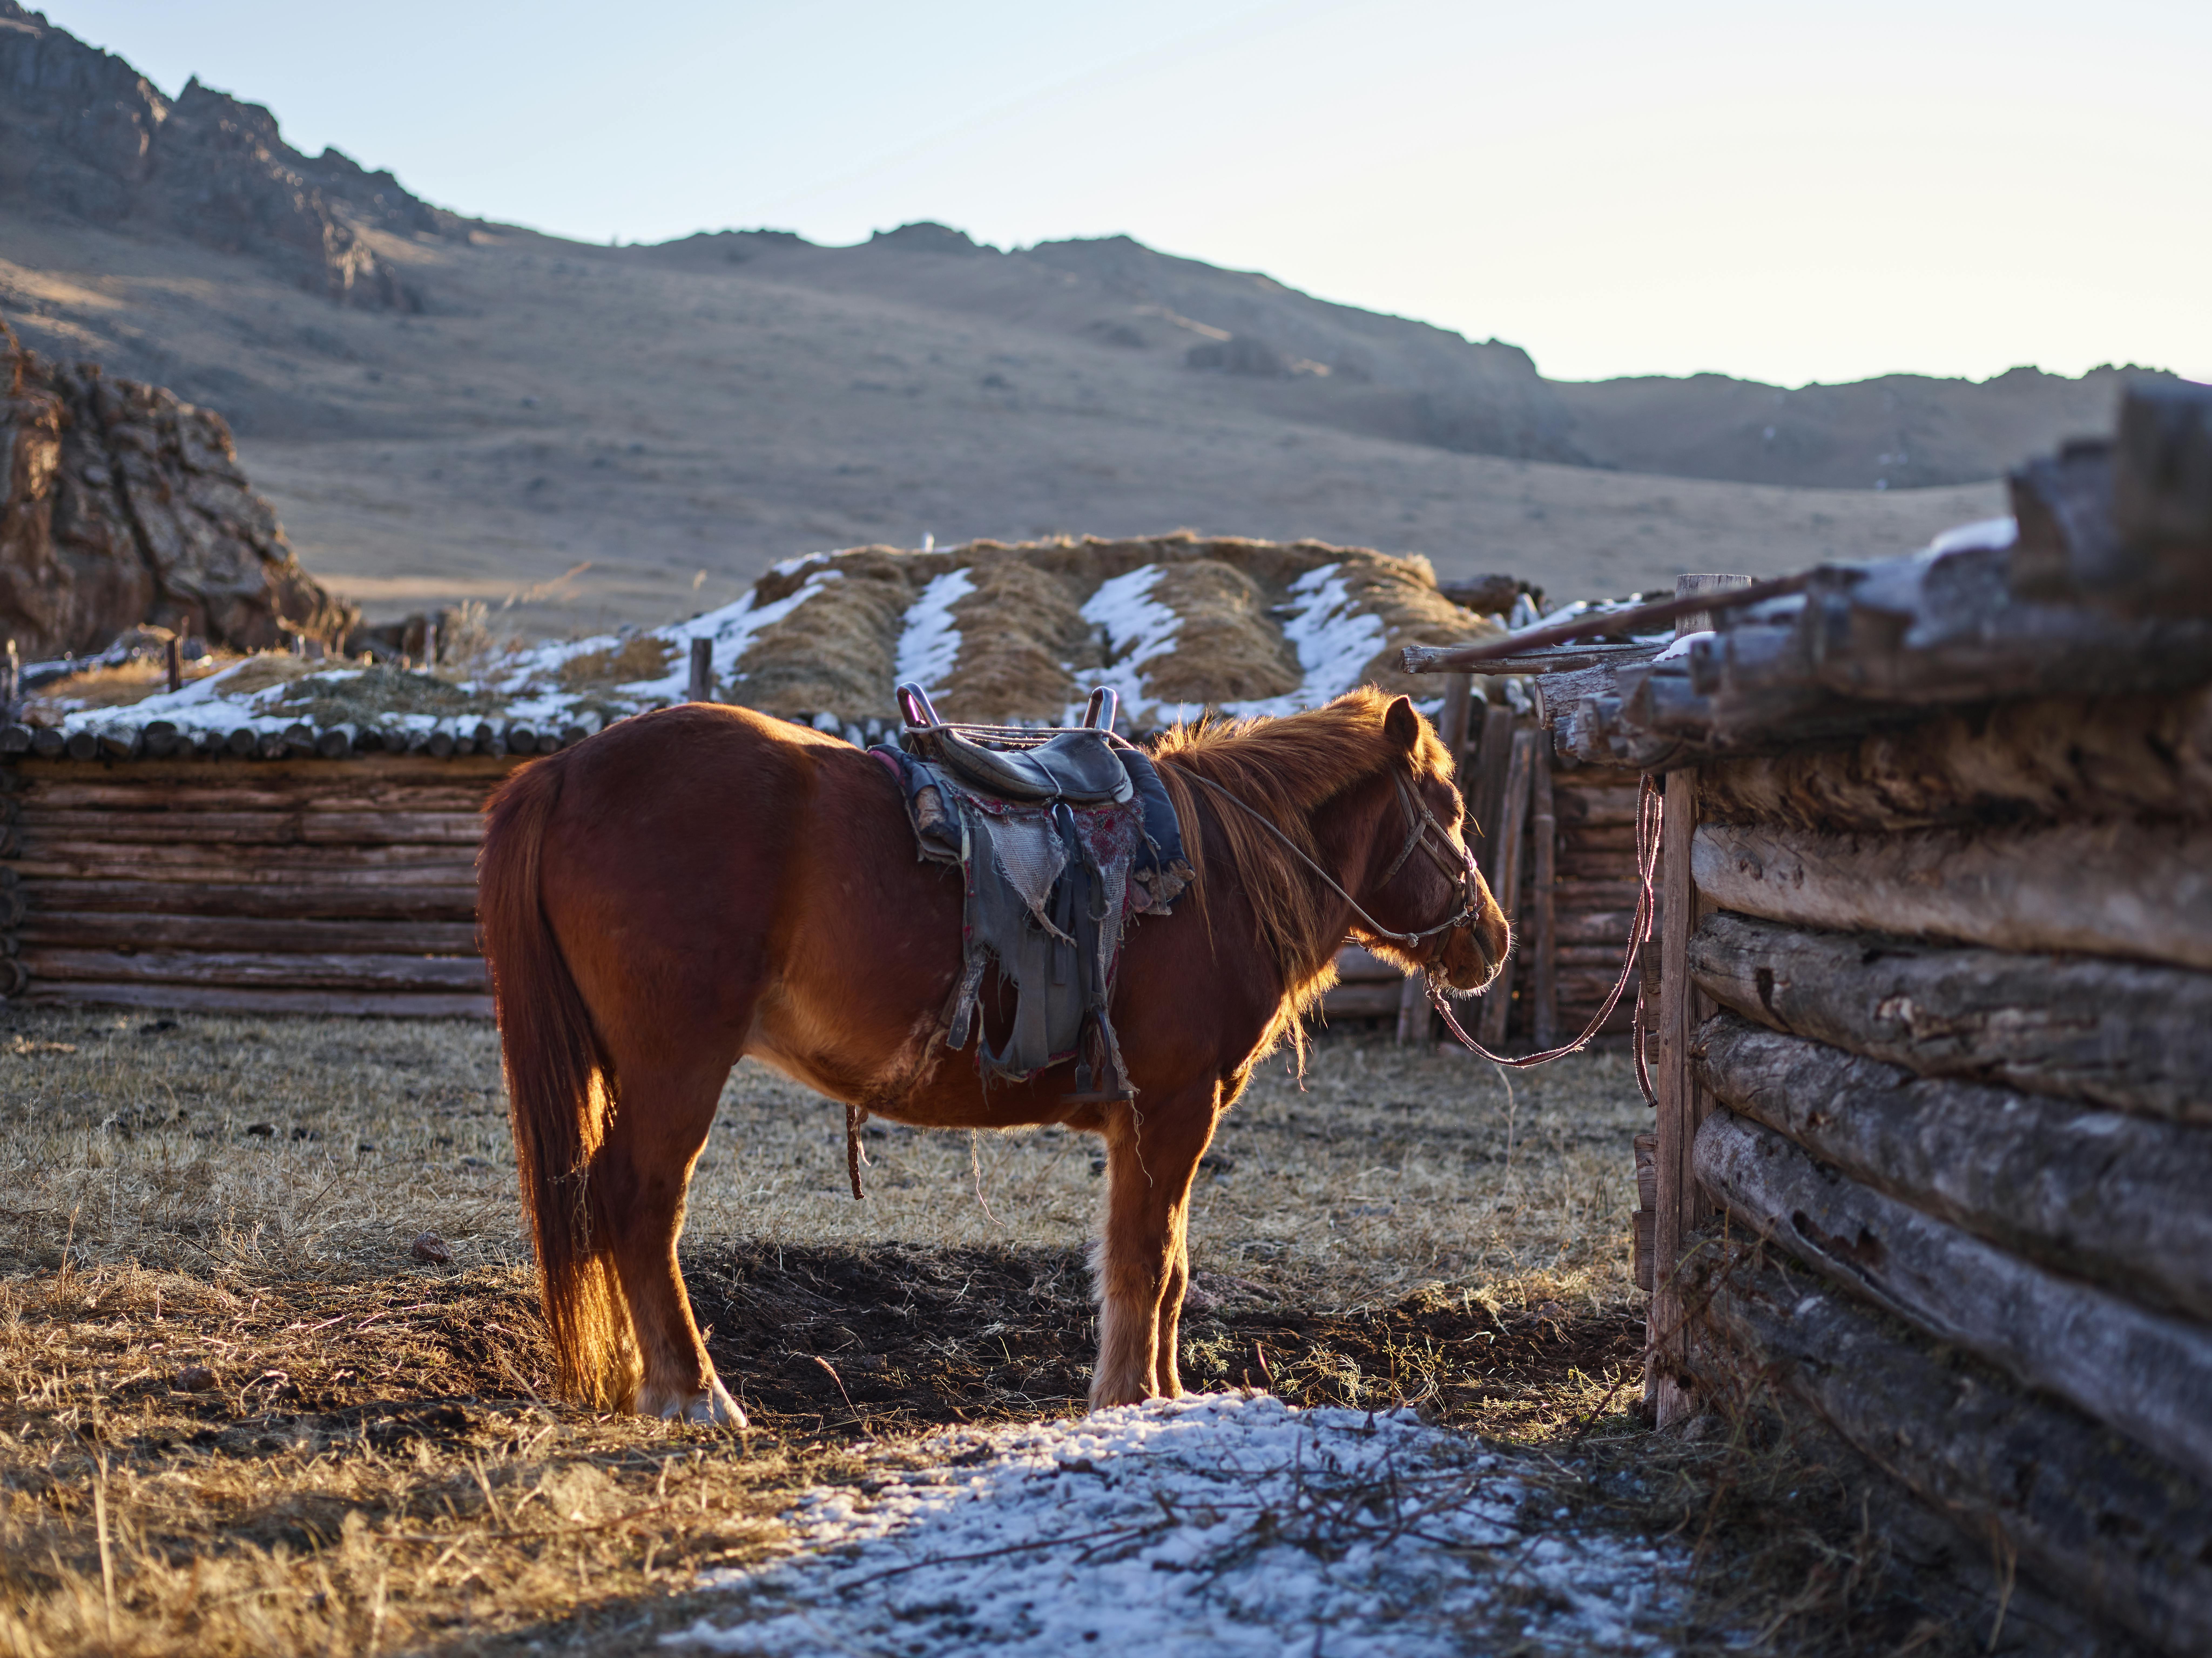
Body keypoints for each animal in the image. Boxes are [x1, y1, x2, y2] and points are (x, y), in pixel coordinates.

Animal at [477, 685, 1511, 1423]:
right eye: (1452, 809)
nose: (1492, 941)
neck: (1216, 875)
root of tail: (563, 770)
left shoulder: (1154, 1123)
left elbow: (1165, 1266)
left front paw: (1162, 1395)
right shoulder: (1171, 1111)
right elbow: (1149, 1260)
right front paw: (1135, 1399)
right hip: (675, 1066)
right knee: (639, 1204)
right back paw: (694, 1395)